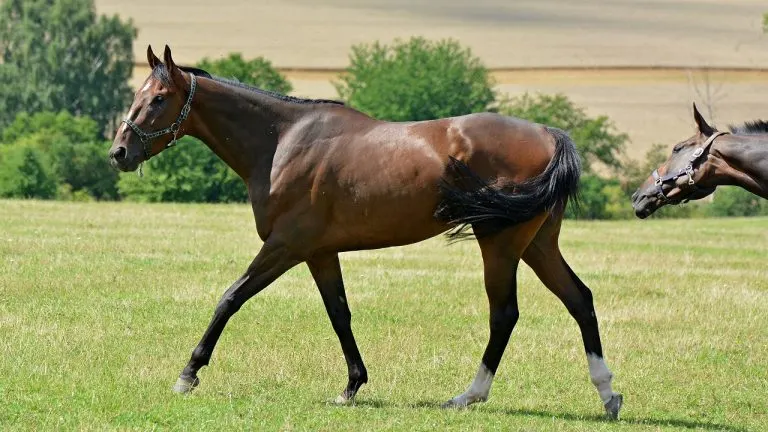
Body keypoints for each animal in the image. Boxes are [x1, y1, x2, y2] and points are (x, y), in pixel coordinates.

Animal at [108, 45, 623, 419]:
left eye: (158, 98)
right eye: (136, 94)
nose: (119, 152)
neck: (281, 142)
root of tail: (549, 135)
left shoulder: (285, 246)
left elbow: (230, 297)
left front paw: (188, 374)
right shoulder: (319, 253)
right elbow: (340, 314)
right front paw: (352, 385)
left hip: (500, 243)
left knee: (505, 315)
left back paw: (468, 396)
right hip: (537, 244)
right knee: (579, 299)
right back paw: (607, 394)